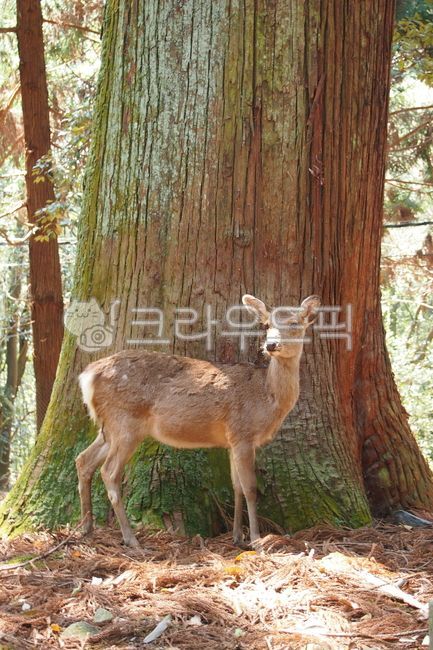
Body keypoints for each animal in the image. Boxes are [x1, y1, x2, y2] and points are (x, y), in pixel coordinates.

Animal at [76, 294, 320, 548]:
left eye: (294, 323)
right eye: (266, 325)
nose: (270, 345)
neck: (267, 397)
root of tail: (87, 376)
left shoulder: (231, 441)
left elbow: (236, 487)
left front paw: (237, 537)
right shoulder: (242, 432)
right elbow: (251, 488)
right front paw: (255, 539)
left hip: (109, 426)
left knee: (83, 460)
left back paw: (86, 527)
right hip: (126, 422)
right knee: (109, 472)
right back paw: (130, 538)